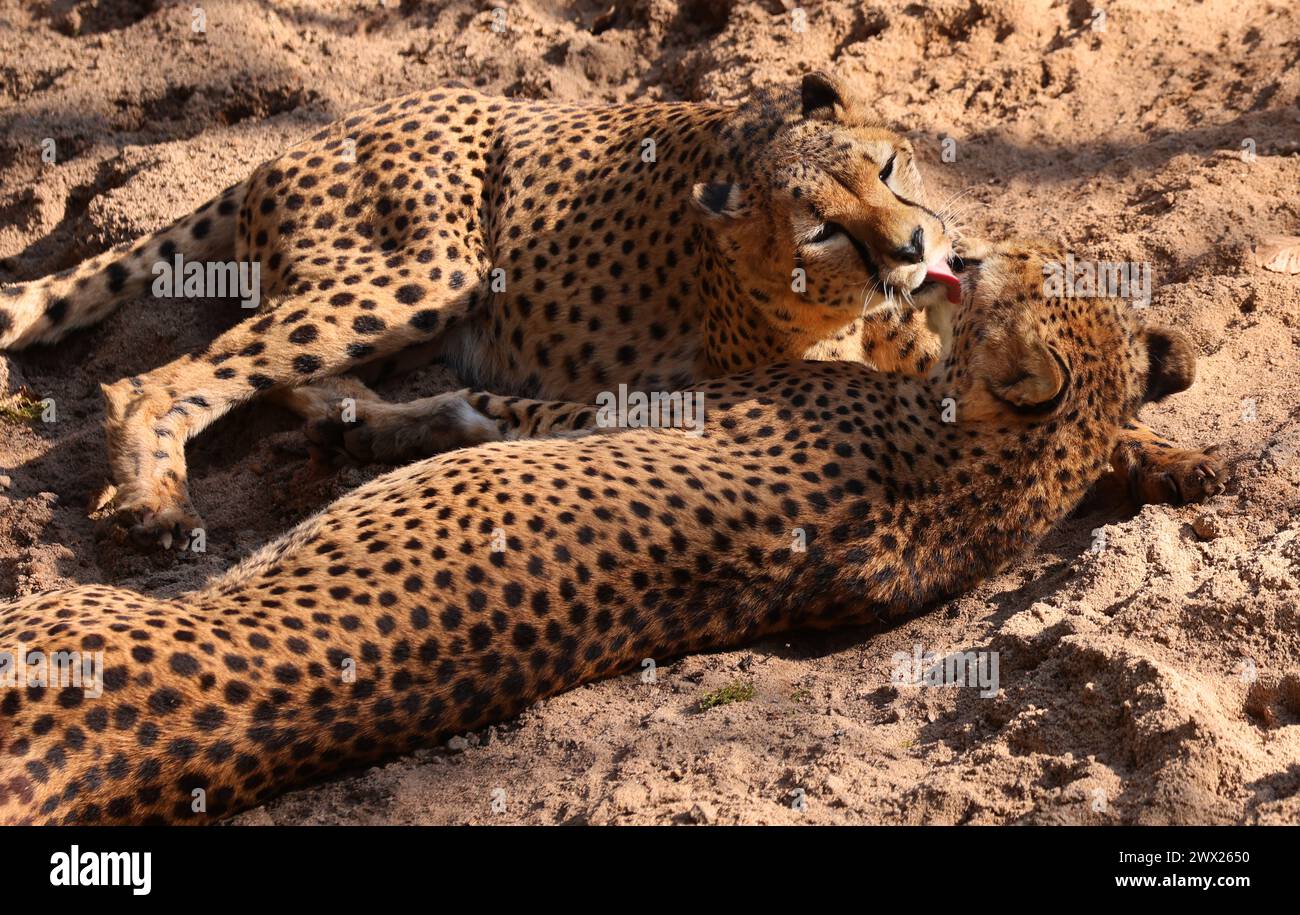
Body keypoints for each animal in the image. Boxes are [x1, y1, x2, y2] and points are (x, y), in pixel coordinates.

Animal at [0, 71, 1220, 549]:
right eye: (821, 227)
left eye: (887, 168)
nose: (921, 247)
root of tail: (287, 152)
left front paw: (1165, 442)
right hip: (429, 264)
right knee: (172, 374)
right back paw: (156, 499)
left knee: (304, 381)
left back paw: (422, 425)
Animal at [0, 239, 1215, 824]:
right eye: (1047, 262)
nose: (972, 249)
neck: (985, 462)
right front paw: (1170, 446)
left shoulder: (616, 408)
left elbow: (483, 408)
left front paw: (363, 411)